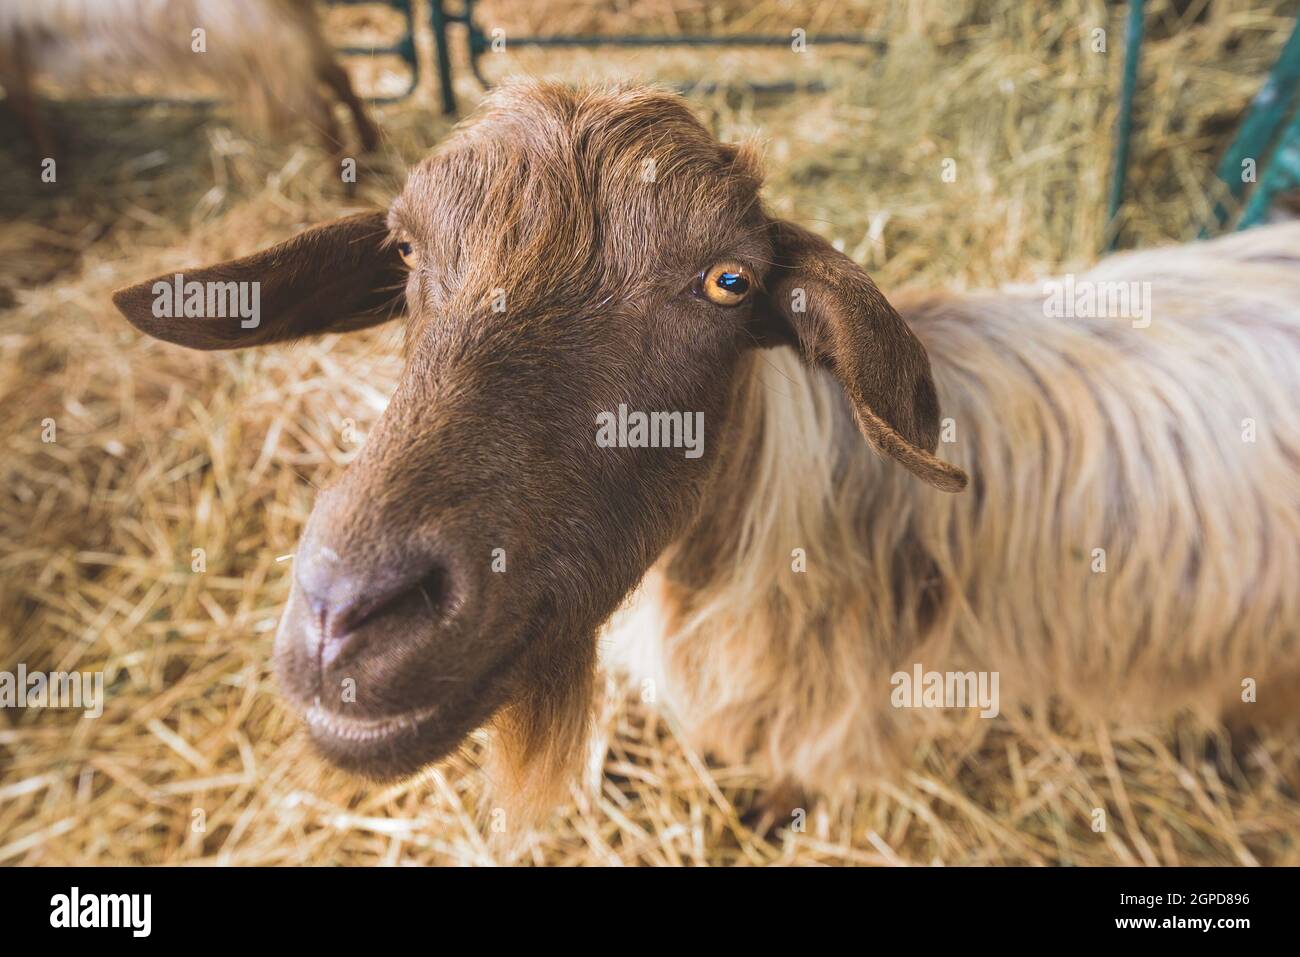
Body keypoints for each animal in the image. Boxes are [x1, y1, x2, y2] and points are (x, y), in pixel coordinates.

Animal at [0, 0, 378, 159]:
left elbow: (22, 104)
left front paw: (49, 158)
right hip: (280, 30)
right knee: (339, 76)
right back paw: (368, 144)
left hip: (253, 36)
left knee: (318, 108)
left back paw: (341, 182)